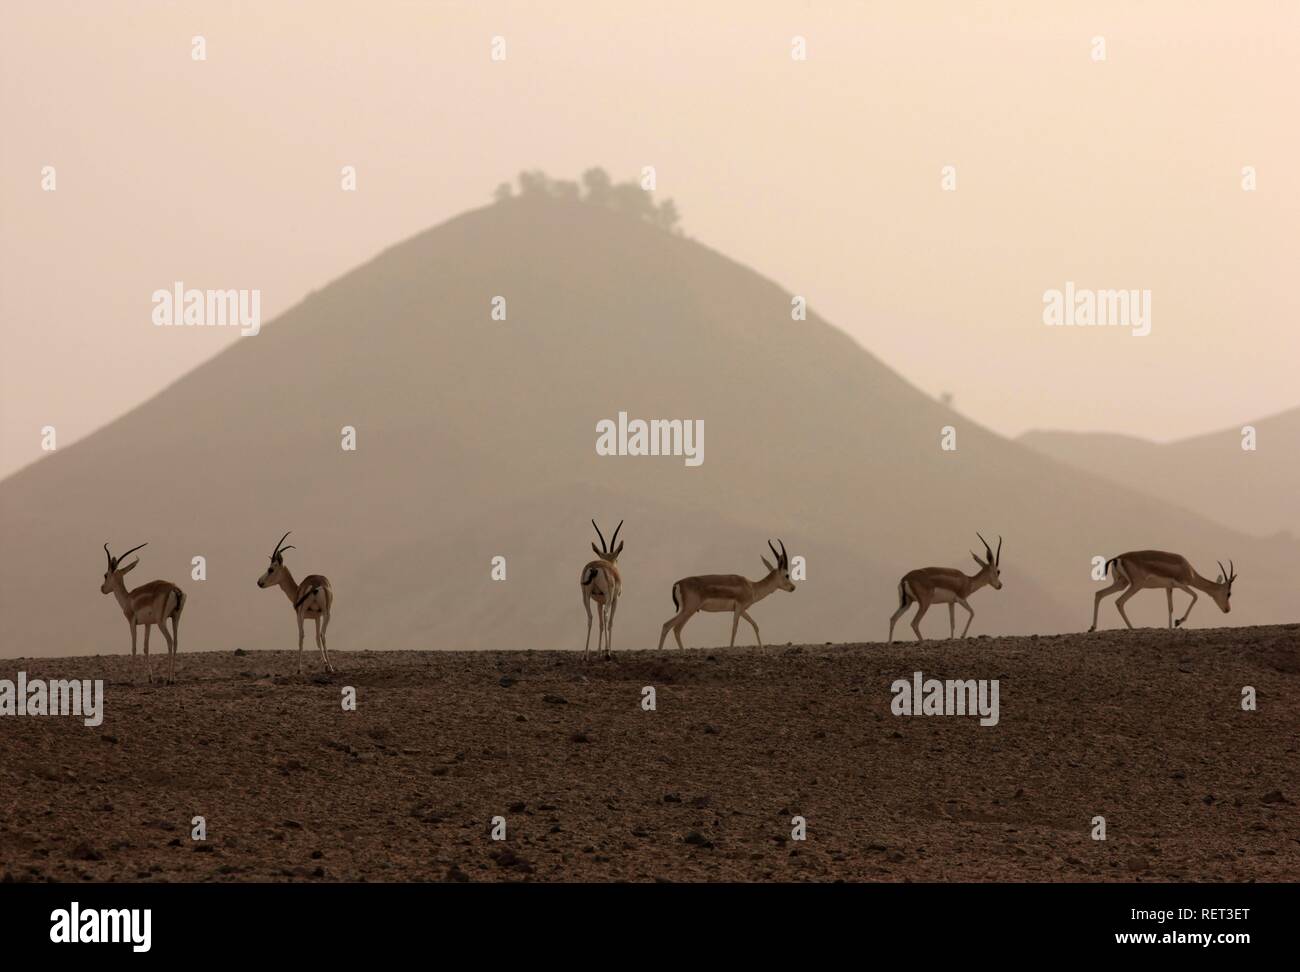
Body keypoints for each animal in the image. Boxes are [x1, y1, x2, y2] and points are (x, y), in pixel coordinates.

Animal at [99, 542, 186, 685]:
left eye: (106, 575)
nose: (102, 588)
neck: (128, 598)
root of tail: (174, 588)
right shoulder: (147, 624)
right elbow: (146, 647)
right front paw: (150, 678)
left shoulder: (132, 622)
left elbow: (134, 647)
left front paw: (132, 679)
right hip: (175, 617)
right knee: (176, 641)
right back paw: (173, 678)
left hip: (161, 622)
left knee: (170, 640)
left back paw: (169, 679)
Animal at [256, 531, 335, 674]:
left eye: (270, 569)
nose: (259, 582)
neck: (297, 589)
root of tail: (316, 584)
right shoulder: (317, 616)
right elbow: (317, 638)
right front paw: (325, 665)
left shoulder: (299, 614)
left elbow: (303, 637)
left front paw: (300, 669)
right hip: (327, 613)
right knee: (322, 635)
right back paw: (331, 667)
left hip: (301, 614)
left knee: (302, 635)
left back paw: (299, 669)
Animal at [580, 519, 623, 660]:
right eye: (617, 558)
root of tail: (594, 568)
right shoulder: (615, 599)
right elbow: (609, 622)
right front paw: (605, 651)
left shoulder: (599, 602)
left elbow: (600, 625)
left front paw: (598, 652)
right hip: (608, 597)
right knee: (606, 615)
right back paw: (607, 653)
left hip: (585, 595)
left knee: (590, 617)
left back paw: (585, 654)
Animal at [657, 539, 796, 651]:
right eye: (787, 575)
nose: (793, 587)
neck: (752, 587)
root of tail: (678, 583)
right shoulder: (739, 608)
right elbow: (735, 629)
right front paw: (730, 650)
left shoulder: (742, 610)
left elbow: (755, 625)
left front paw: (763, 652)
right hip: (689, 610)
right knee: (674, 628)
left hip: (685, 610)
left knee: (667, 626)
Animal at [1089, 551, 1236, 631]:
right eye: (1229, 593)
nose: (1228, 610)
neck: (1189, 570)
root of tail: (1118, 558)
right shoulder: (1181, 584)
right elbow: (1195, 596)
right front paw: (1178, 622)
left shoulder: (1168, 587)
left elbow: (1170, 607)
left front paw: (1171, 627)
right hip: (1136, 585)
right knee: (1119, 601)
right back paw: (1132, 628)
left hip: (1121, 583)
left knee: (1099, 594)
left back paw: (1092, 628)